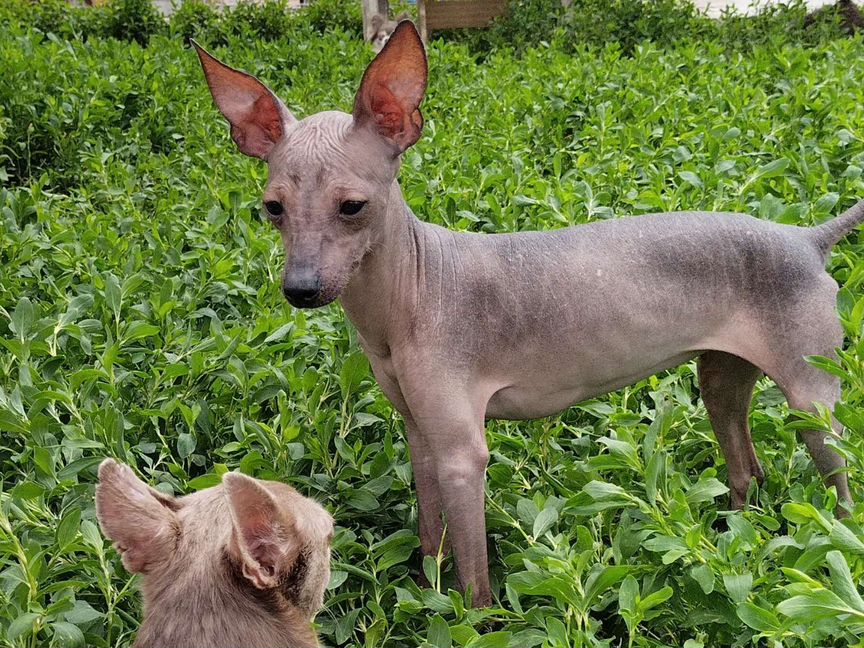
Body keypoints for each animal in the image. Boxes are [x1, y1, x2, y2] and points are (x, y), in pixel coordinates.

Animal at [192, 21, 860, 608]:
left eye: (352, 206)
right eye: (272, 209)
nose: (300, 289)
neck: (410, 295)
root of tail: (807, 238)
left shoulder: (464, 455)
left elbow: (475, 580)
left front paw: (477, 620)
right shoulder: (422, 437)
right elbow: (432, 542)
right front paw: (428, 594)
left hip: (813, 404)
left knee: (839, 487)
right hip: (721, 378)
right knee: (746, 470)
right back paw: (734, 542)